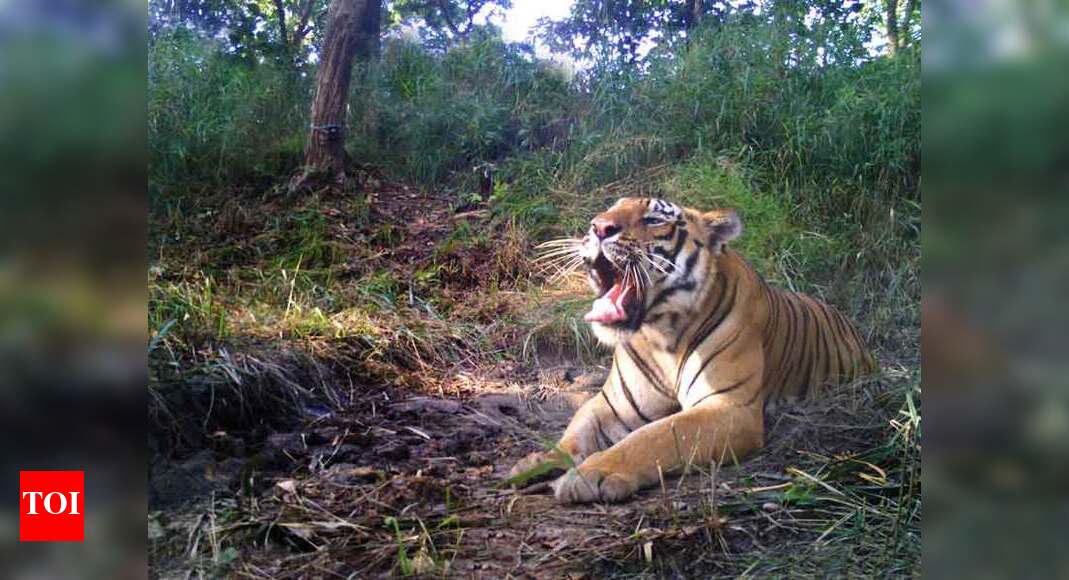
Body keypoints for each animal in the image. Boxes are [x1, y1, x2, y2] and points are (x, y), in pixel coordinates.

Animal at [510, 197, 877, 504]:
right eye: (608, 211)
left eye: (654, 218)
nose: (598, 227)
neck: (660, 336)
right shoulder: (612, 405)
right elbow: (576, 432)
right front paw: (539, 462)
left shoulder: (730, 407)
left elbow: (653, 437)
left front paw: (592, 474)